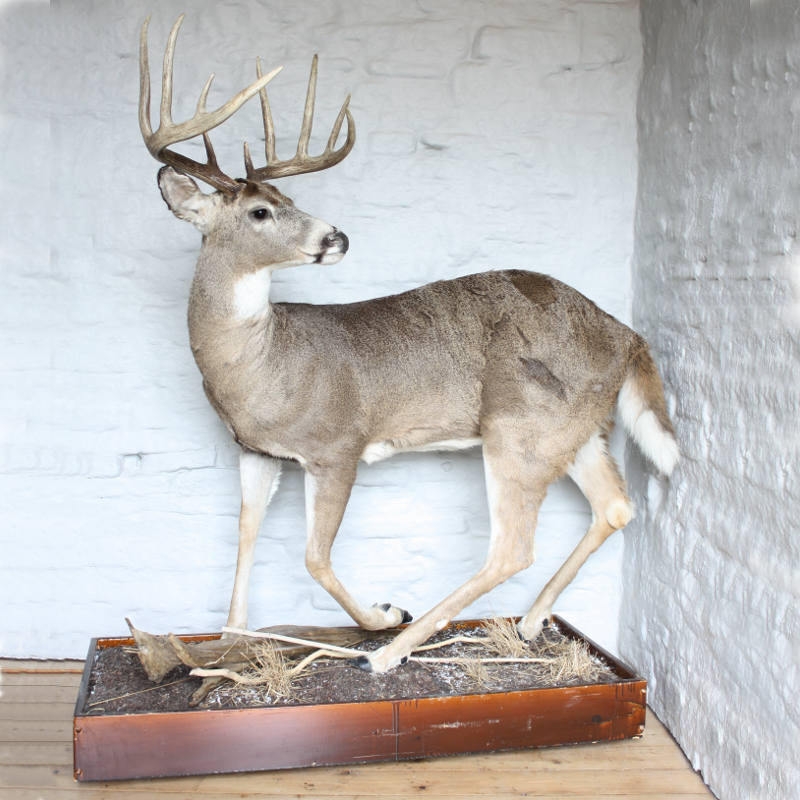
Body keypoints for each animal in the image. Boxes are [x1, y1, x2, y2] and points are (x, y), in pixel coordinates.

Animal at [138, 16, 679, 674]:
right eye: (264, 211)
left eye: (290, 201)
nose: (337, 236)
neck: (262, 365)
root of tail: (626, 334)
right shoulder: (255, 451)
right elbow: (244, 535)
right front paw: (223, 646)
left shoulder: (338, 444)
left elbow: (314, 557)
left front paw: (383, 613)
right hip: (576, 429)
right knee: (615, 506)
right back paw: (529, 622)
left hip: (521, 425)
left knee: (513, 547)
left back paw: (390, 652)